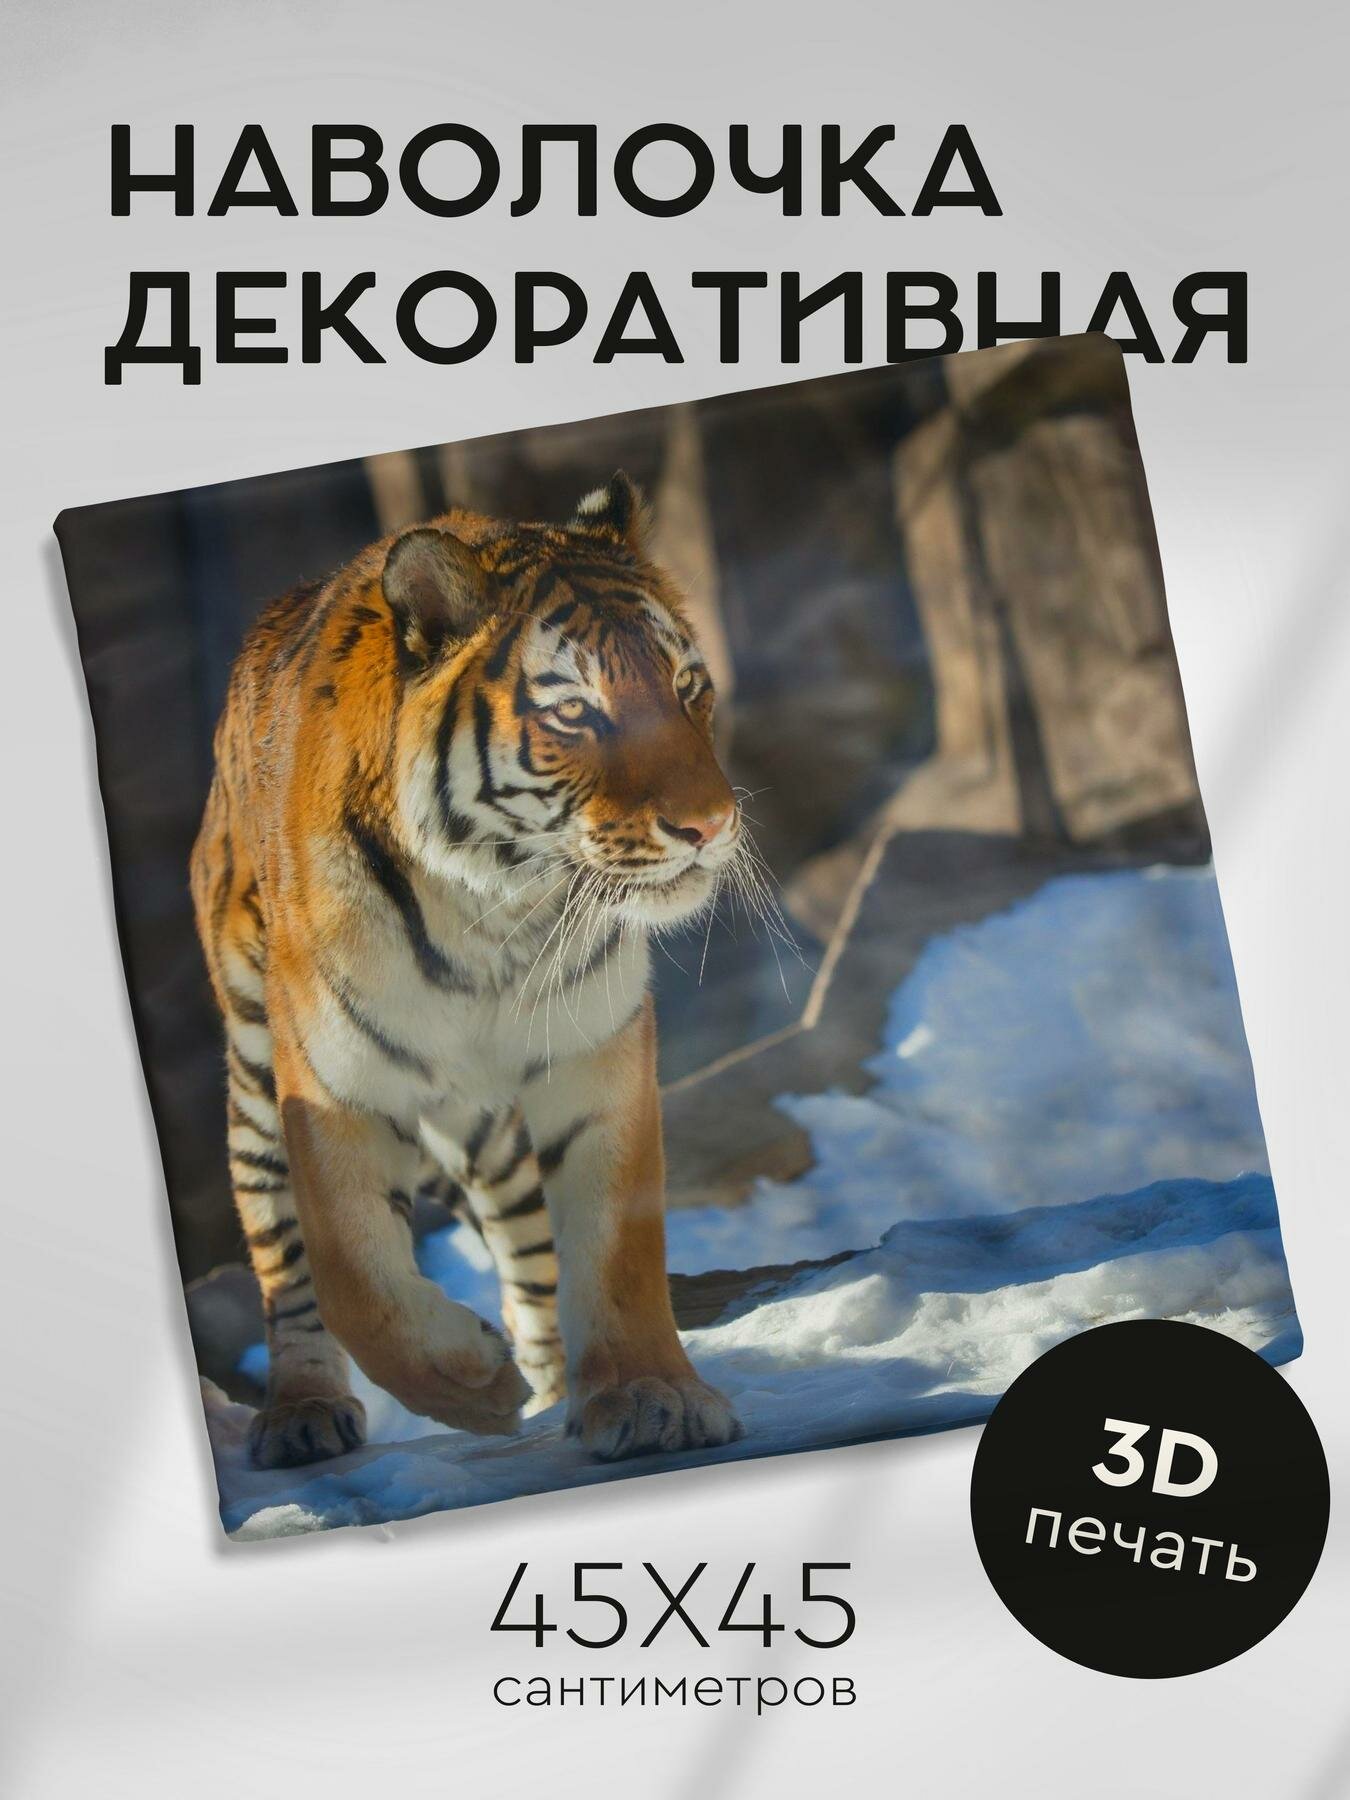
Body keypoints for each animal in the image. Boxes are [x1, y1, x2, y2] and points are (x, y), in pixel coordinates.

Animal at [190, 471, 747, 1470]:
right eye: (575, 712)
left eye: (689, 687)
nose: (711, 825)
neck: (497, 910)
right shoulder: (329, 1084)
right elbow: (354, 1274)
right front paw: (472, 1386)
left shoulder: (596, 1051)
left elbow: (616, 1247)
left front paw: (649, 1396)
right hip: (252, 1073)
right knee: (286, 1261)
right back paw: (302, 1414)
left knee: (529, 1249)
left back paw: (557, 1378)